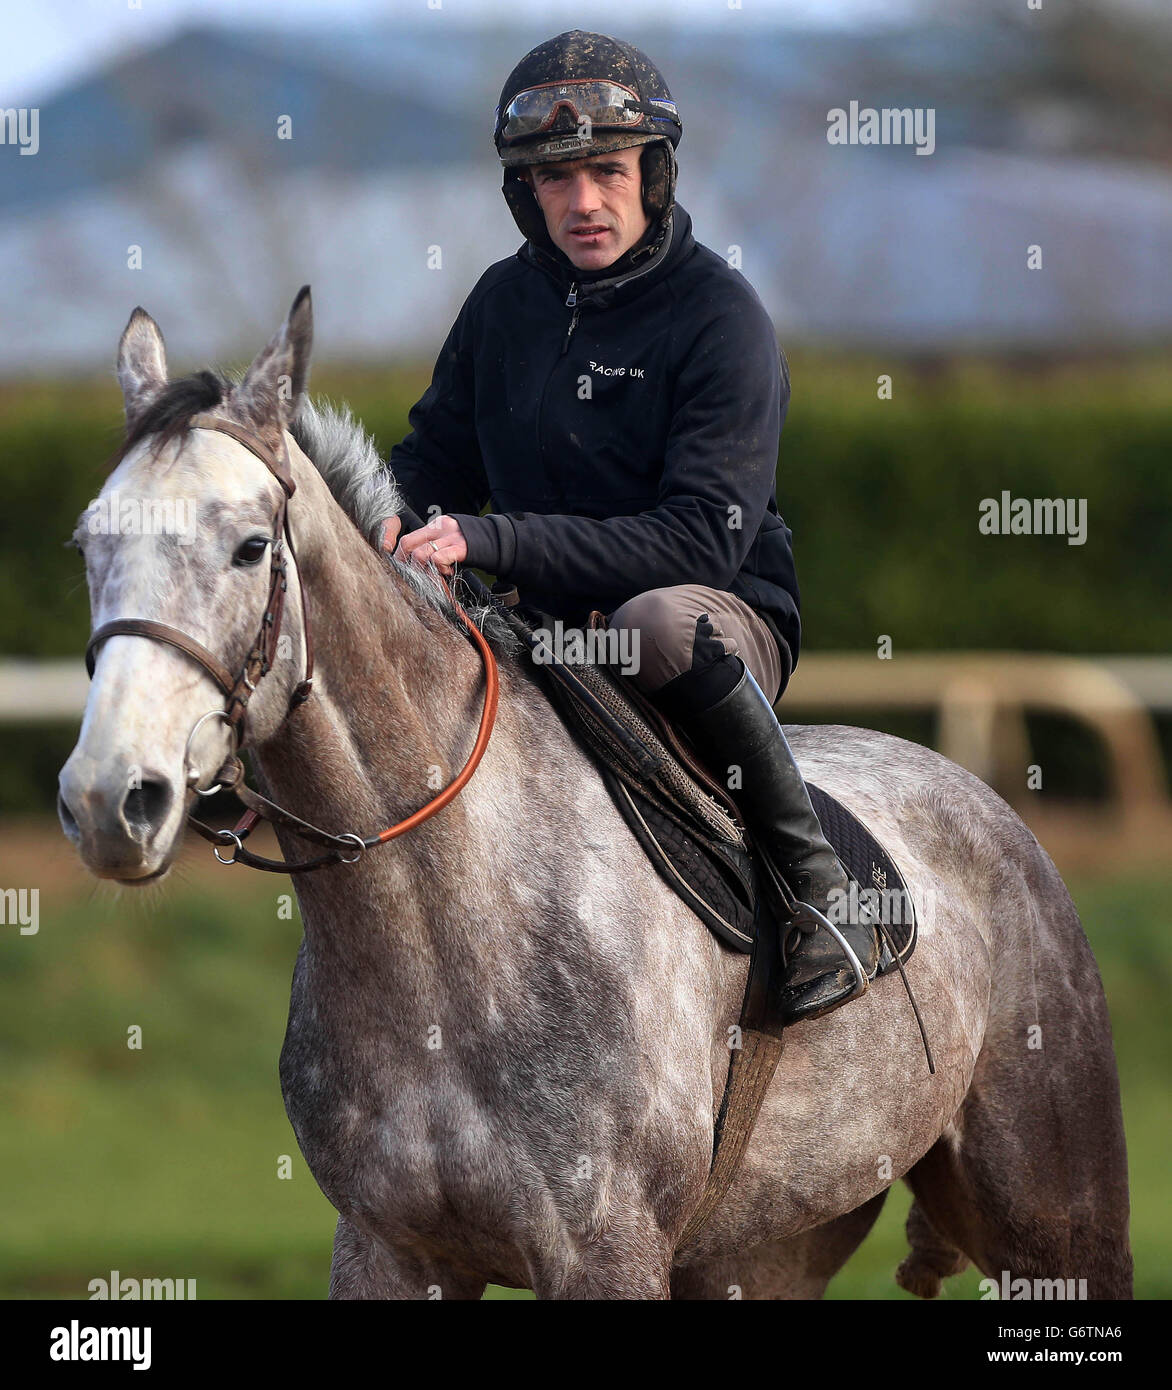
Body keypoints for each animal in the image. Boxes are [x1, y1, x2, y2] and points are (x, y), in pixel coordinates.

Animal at [58, 291, 1132, 1299]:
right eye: (85, 544)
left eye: (249, 547)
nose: (112, 798)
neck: (442, 926)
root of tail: (988, 806)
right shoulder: (388, 1251)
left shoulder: (603, 1250)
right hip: (771, 1247)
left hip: (1056, 1218)